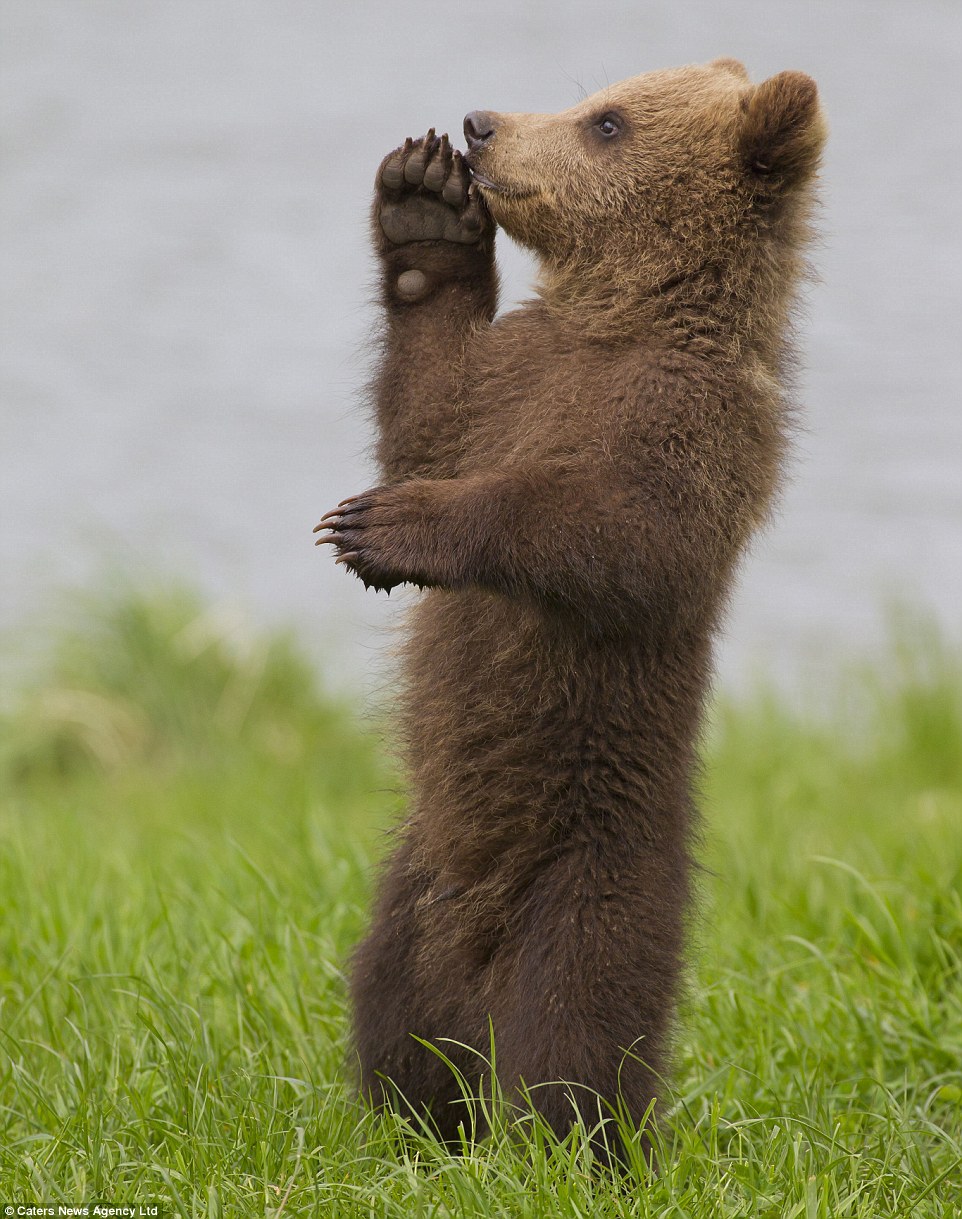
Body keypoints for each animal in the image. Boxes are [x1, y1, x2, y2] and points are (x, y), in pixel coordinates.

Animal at [316, 58, 826, 1161]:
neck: (615, 320)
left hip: (590, 881)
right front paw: (424, 205)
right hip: (408, 893)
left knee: (572, 1044)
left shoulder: (688, 422)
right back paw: (413, 1128)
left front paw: (389, 528)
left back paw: (565, 1150)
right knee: (392, 1016)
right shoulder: (505, 383)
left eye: (608, 121)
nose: (480, 124)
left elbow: (620, 535)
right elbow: (427, 415)